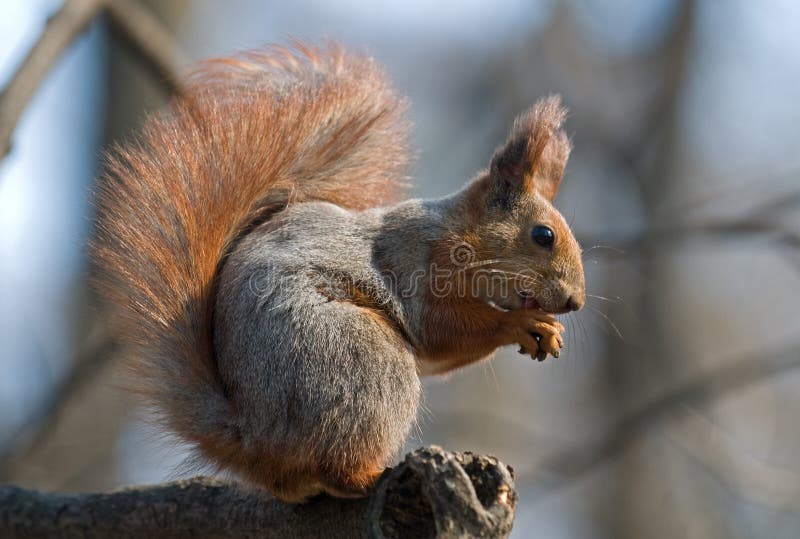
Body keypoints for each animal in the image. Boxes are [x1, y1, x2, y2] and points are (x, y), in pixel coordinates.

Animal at [91, 42, 585, 502]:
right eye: (543, 235)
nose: (575, 302)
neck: (458, 232)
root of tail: (255, 434)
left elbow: (444, 355)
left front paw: (547, 331)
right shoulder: (419, 264)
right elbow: (444, 330)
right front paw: (519, 323)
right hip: (359, 361)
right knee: (338, 465)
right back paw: (369, 475)